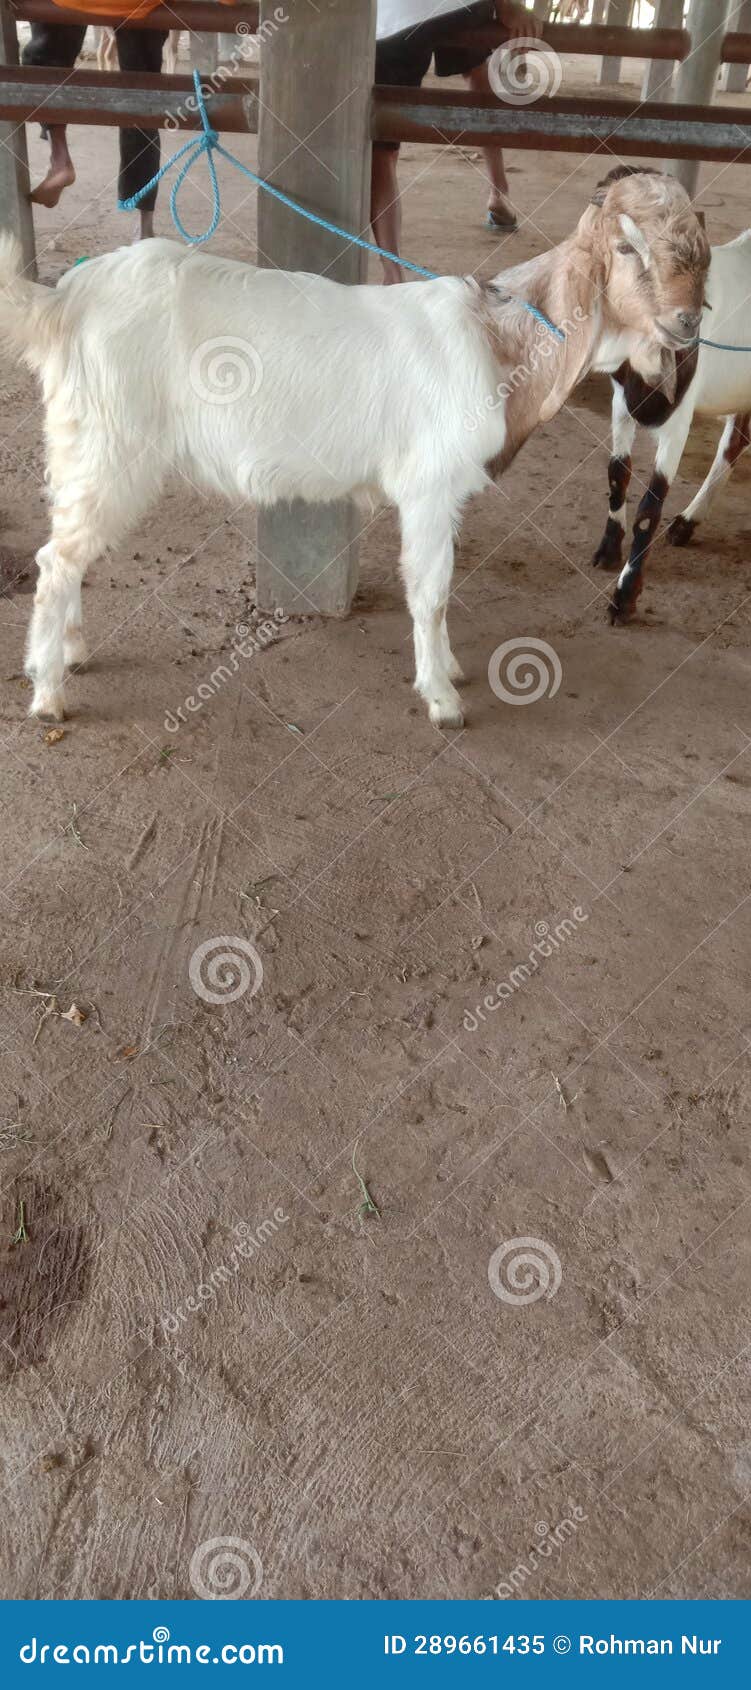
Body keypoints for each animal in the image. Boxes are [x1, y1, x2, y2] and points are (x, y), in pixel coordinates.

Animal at [0, 170, 708, 728]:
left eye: (699, 257)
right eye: (626, 246)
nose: (689, 322)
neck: (501, 341)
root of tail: (64, 302)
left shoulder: (446, 495)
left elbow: (437, 585)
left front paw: (449, 666)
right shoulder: (426, 486)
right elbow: (430, 589)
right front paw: (442, 699)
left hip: (83, 450)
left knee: (67, 549)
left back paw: (70, 652)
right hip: (109, 446)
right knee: (55, 560)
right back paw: (49, 694)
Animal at [593, 224, 751, 619]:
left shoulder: (678, 421)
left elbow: (650, 508)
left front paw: (625, 595)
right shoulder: (622, 401)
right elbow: (617, 473)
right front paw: (608, 550)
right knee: (736, 439)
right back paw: (686, 525)